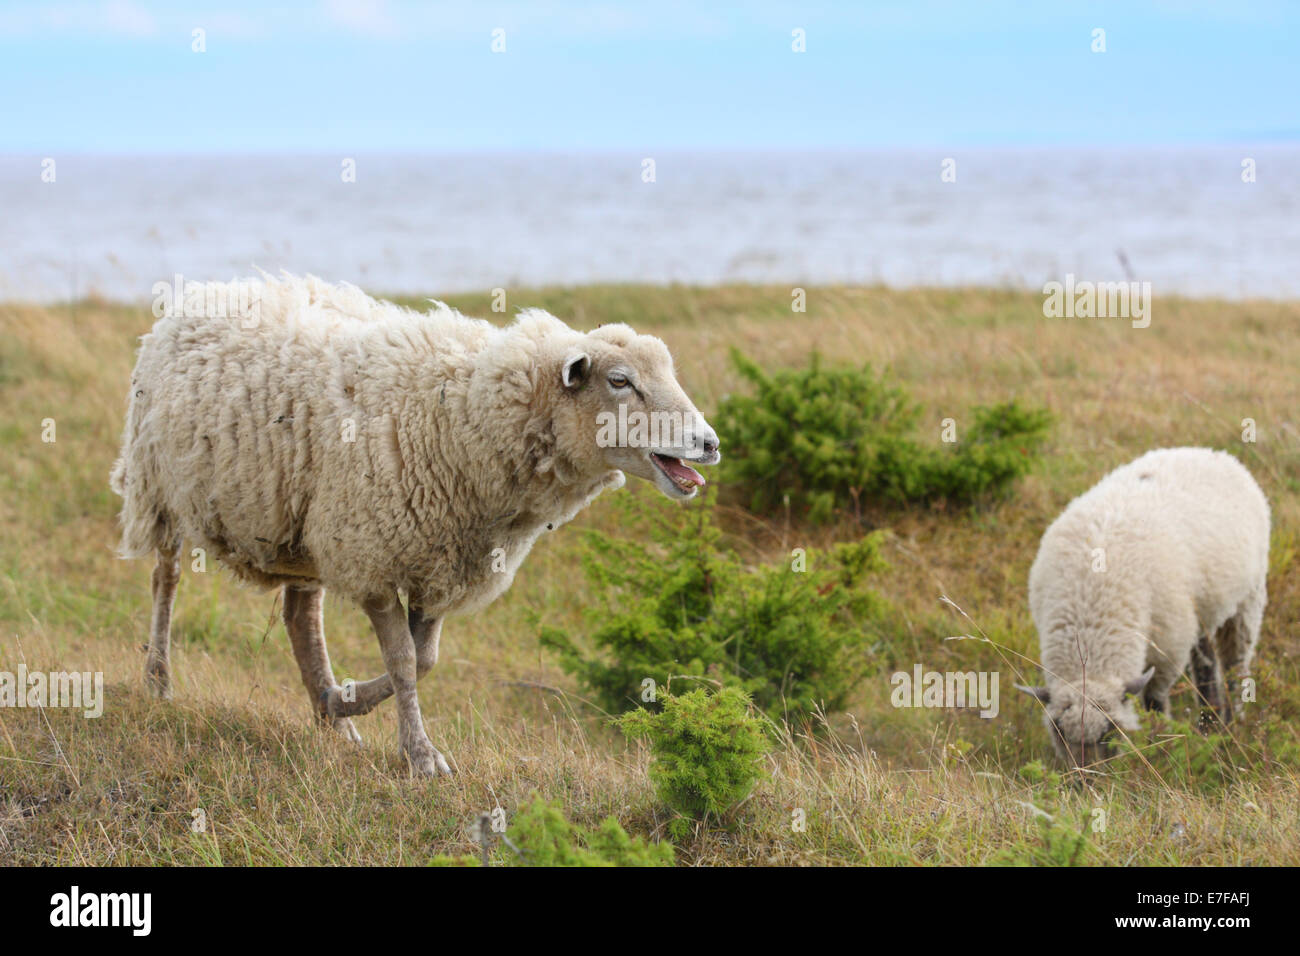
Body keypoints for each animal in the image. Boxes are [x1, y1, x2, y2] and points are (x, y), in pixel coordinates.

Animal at [111, 274, 721, 776]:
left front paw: (347, 700)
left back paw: (332, 716)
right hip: (159, 486)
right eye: (620, 381)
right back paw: (158, 681)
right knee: (166, 580)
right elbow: (404, 661)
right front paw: (420, 754)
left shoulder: (439, 560)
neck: (466, 414)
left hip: (305, 524)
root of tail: (205, 291)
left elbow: (426, 660)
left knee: (300, 617)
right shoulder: (376, 554)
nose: (709, 443)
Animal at [1018, 447, 1269, 767]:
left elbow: (1154, 701)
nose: (1086, 778)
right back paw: (1210, 722)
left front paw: (1157, 747)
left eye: (1109, 732)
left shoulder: (1167, 650)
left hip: (1247, 599)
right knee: (1206, 660)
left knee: (1235, 664)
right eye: (1060, 731)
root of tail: (1210, 452)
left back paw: (1231, 723)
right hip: (1201, 611)